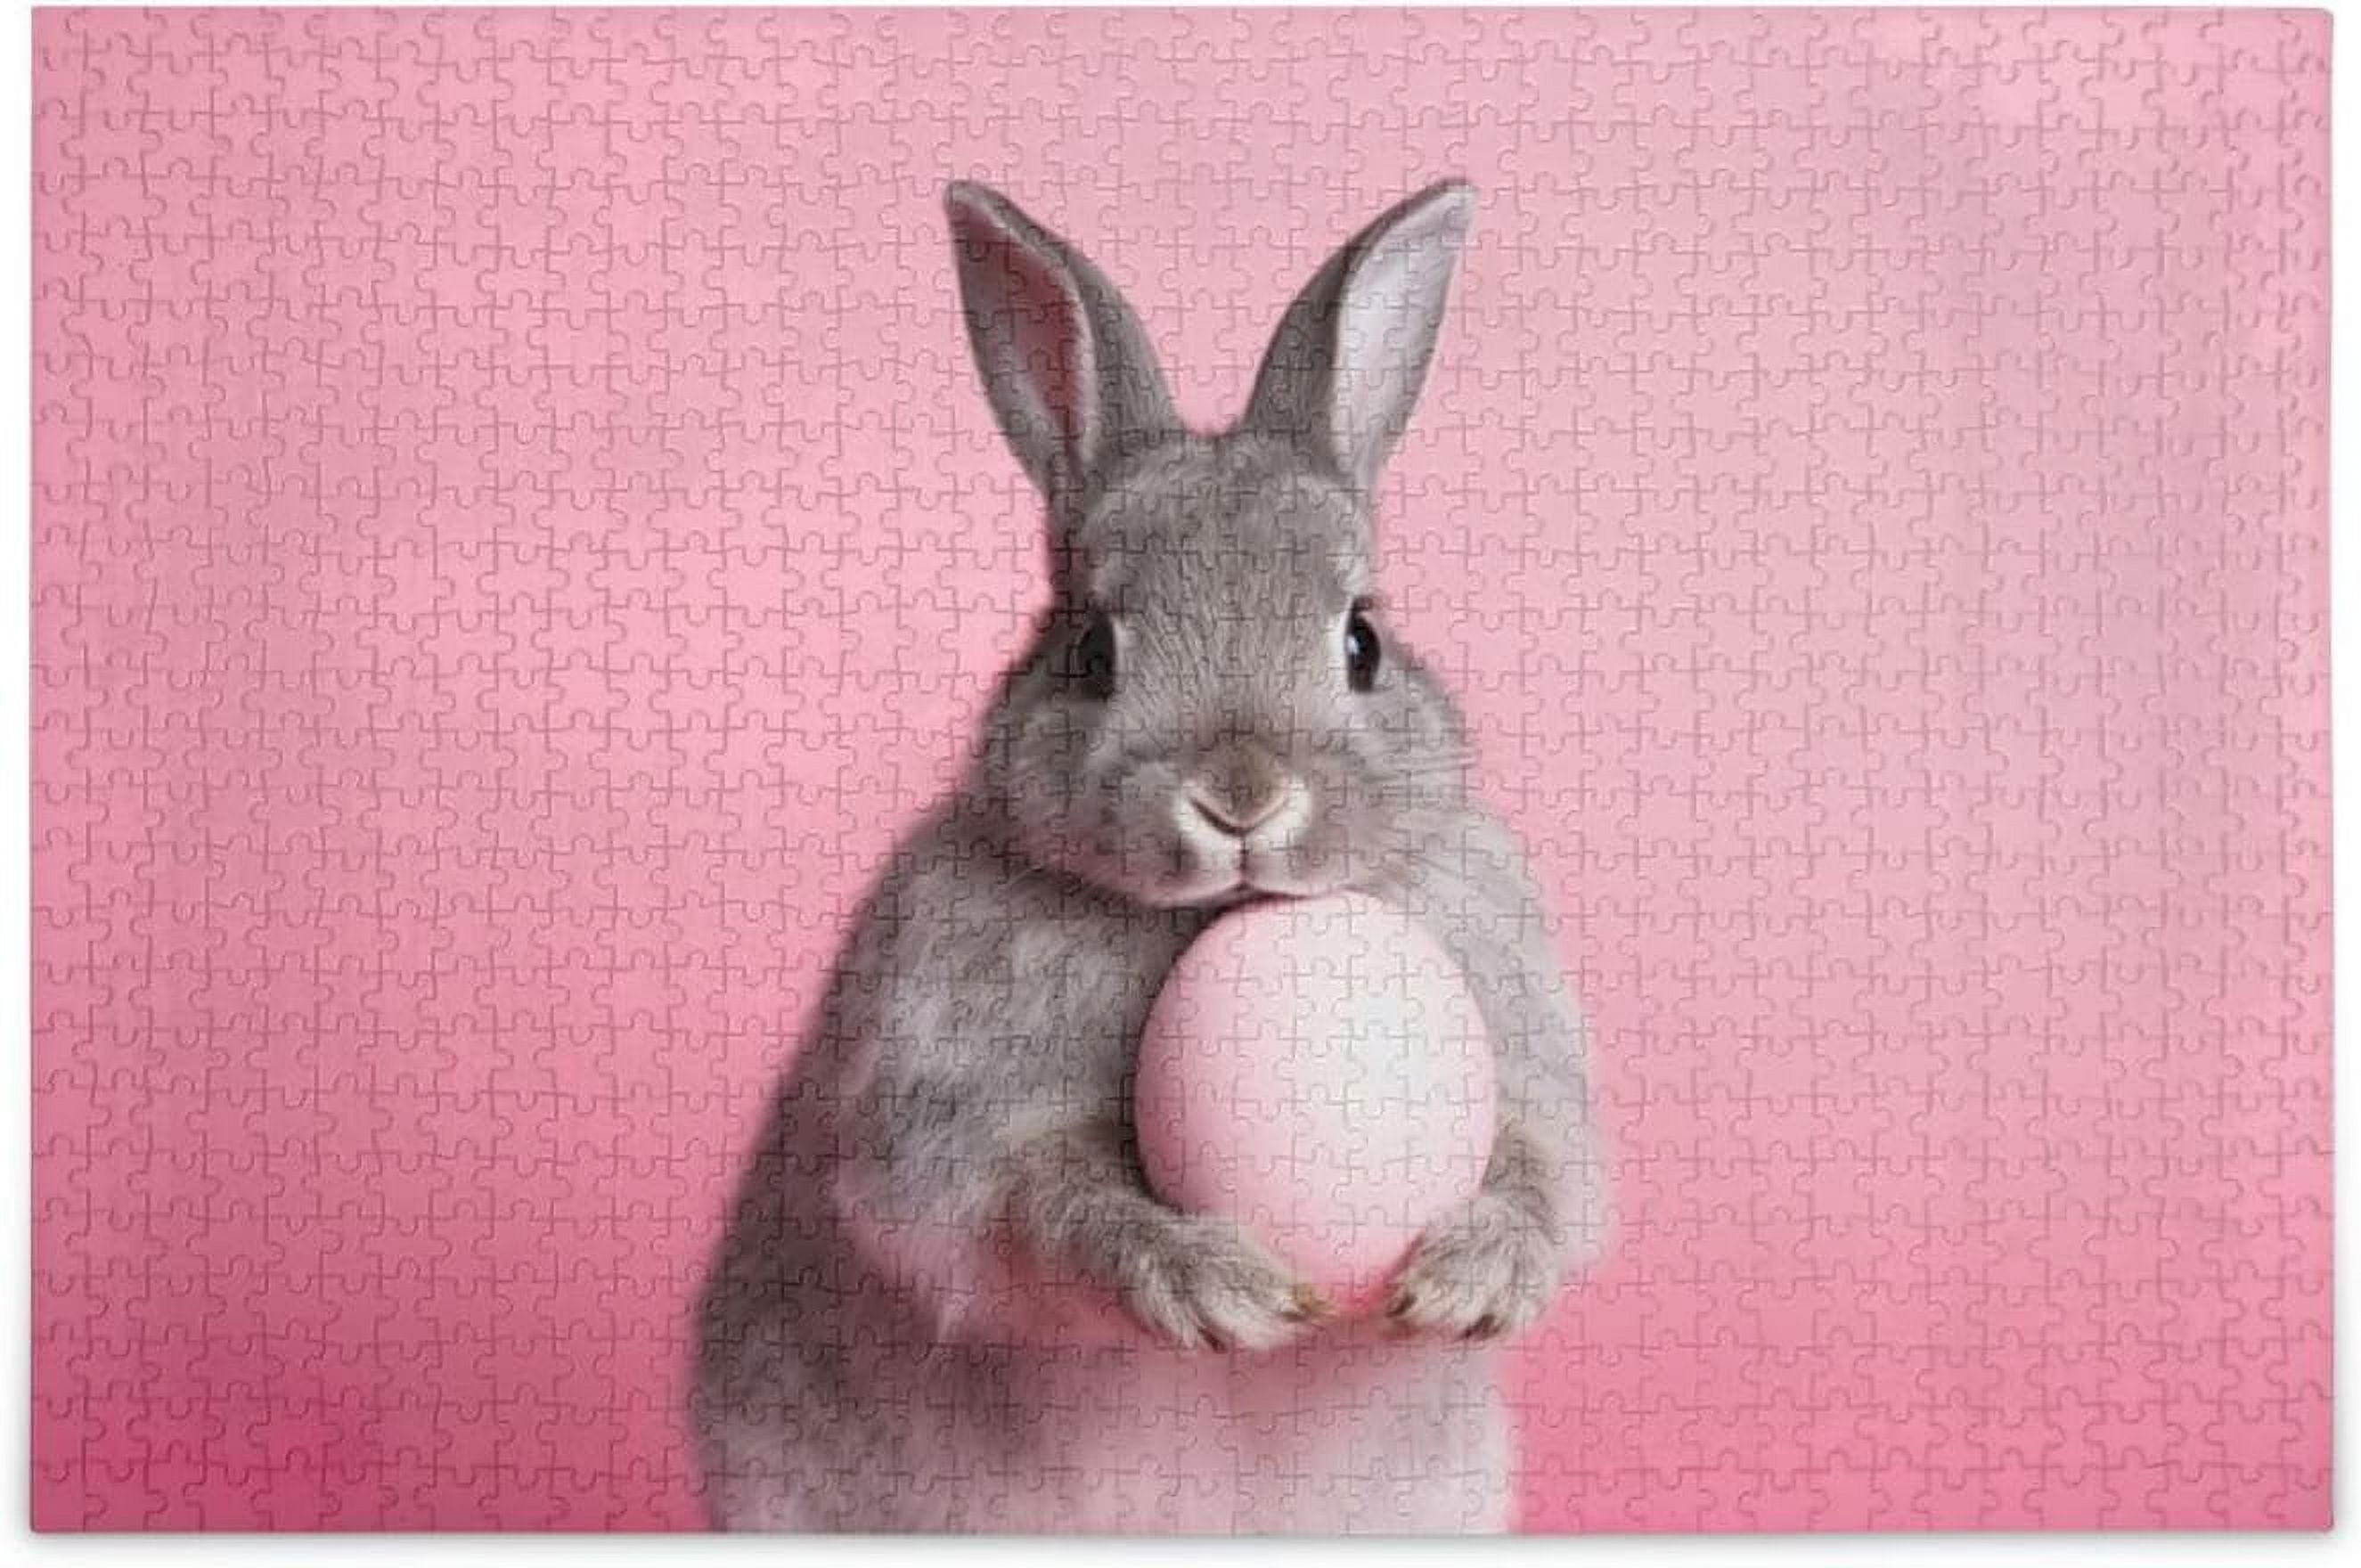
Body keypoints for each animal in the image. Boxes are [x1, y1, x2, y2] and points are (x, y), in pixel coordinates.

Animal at [689, 177, 1605, 1534]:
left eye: (1362, 641)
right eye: (1091, 652)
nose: (1241, 796)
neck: (1212, 920)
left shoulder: (1525, 1048)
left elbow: (1547, 1169)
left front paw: (1473, 1278)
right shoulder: (948, 1119)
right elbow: (1036, 1200)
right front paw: (1206, 1283)